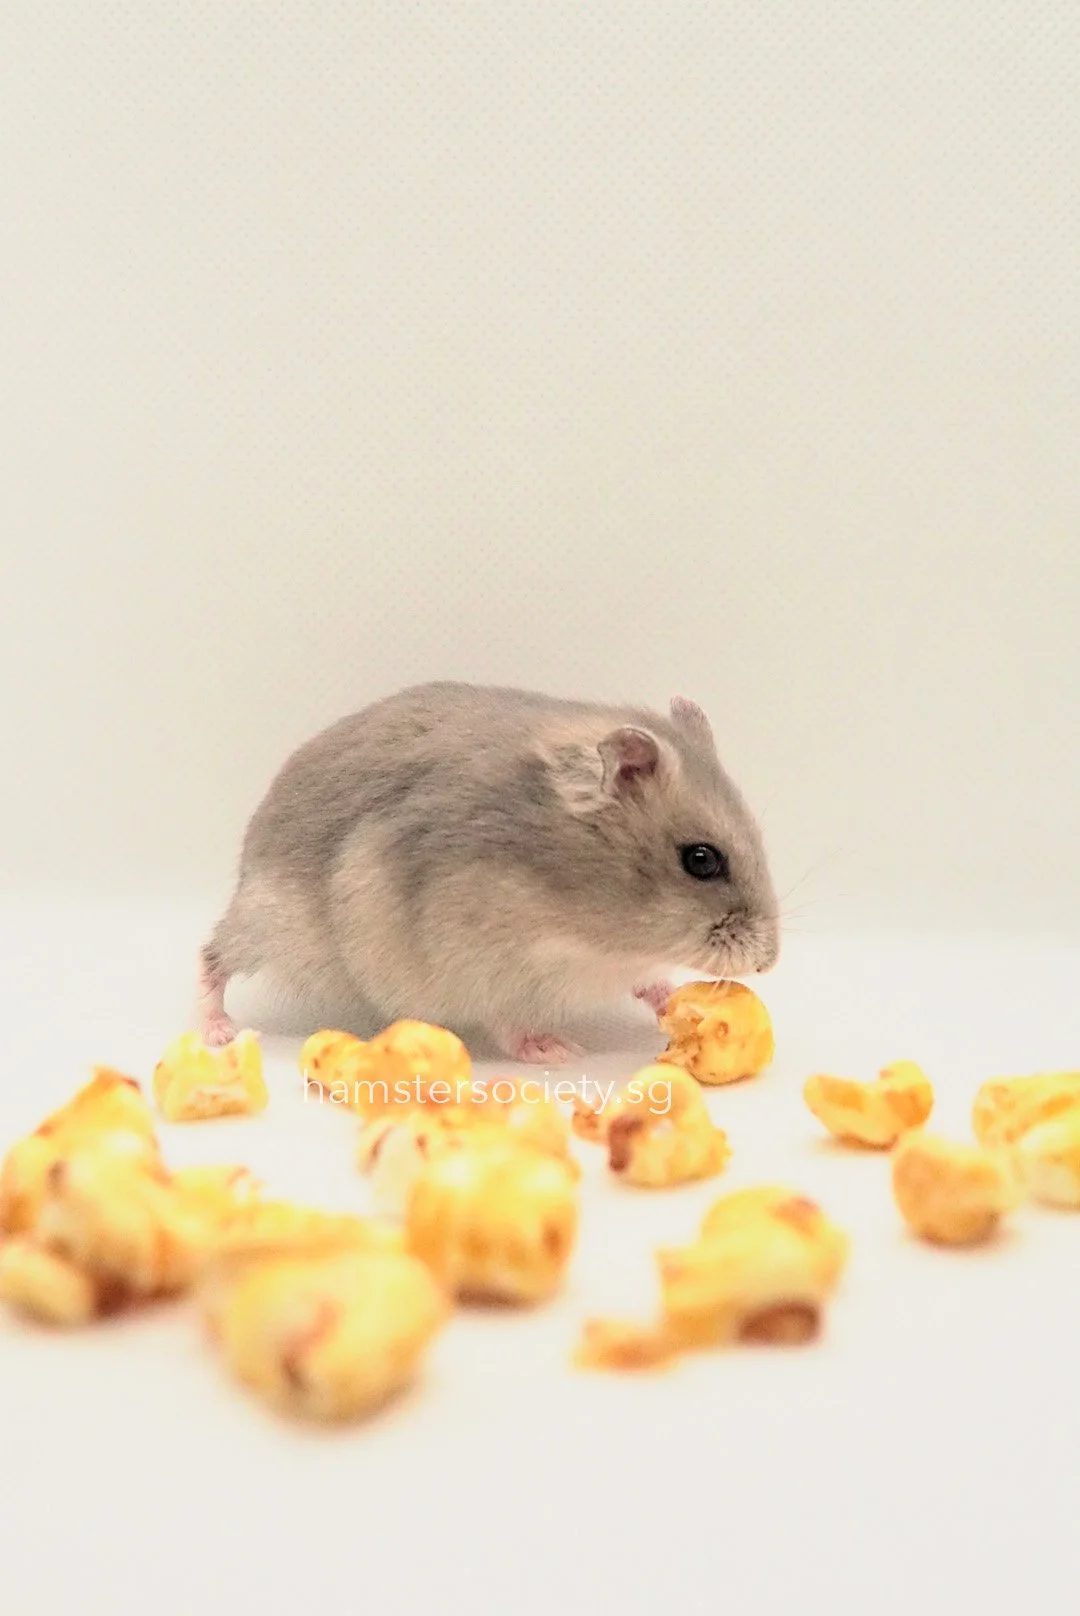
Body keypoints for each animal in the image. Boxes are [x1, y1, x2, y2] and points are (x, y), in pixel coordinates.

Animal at [196, 681, 780, 1065]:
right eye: (701, 860)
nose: (769, 963)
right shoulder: (474, 962)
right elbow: (506, 1018)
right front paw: (555, 1050)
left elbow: (649, 983)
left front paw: (673, 1003)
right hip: (272, 923)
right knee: (211, 957)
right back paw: (218, 1033)